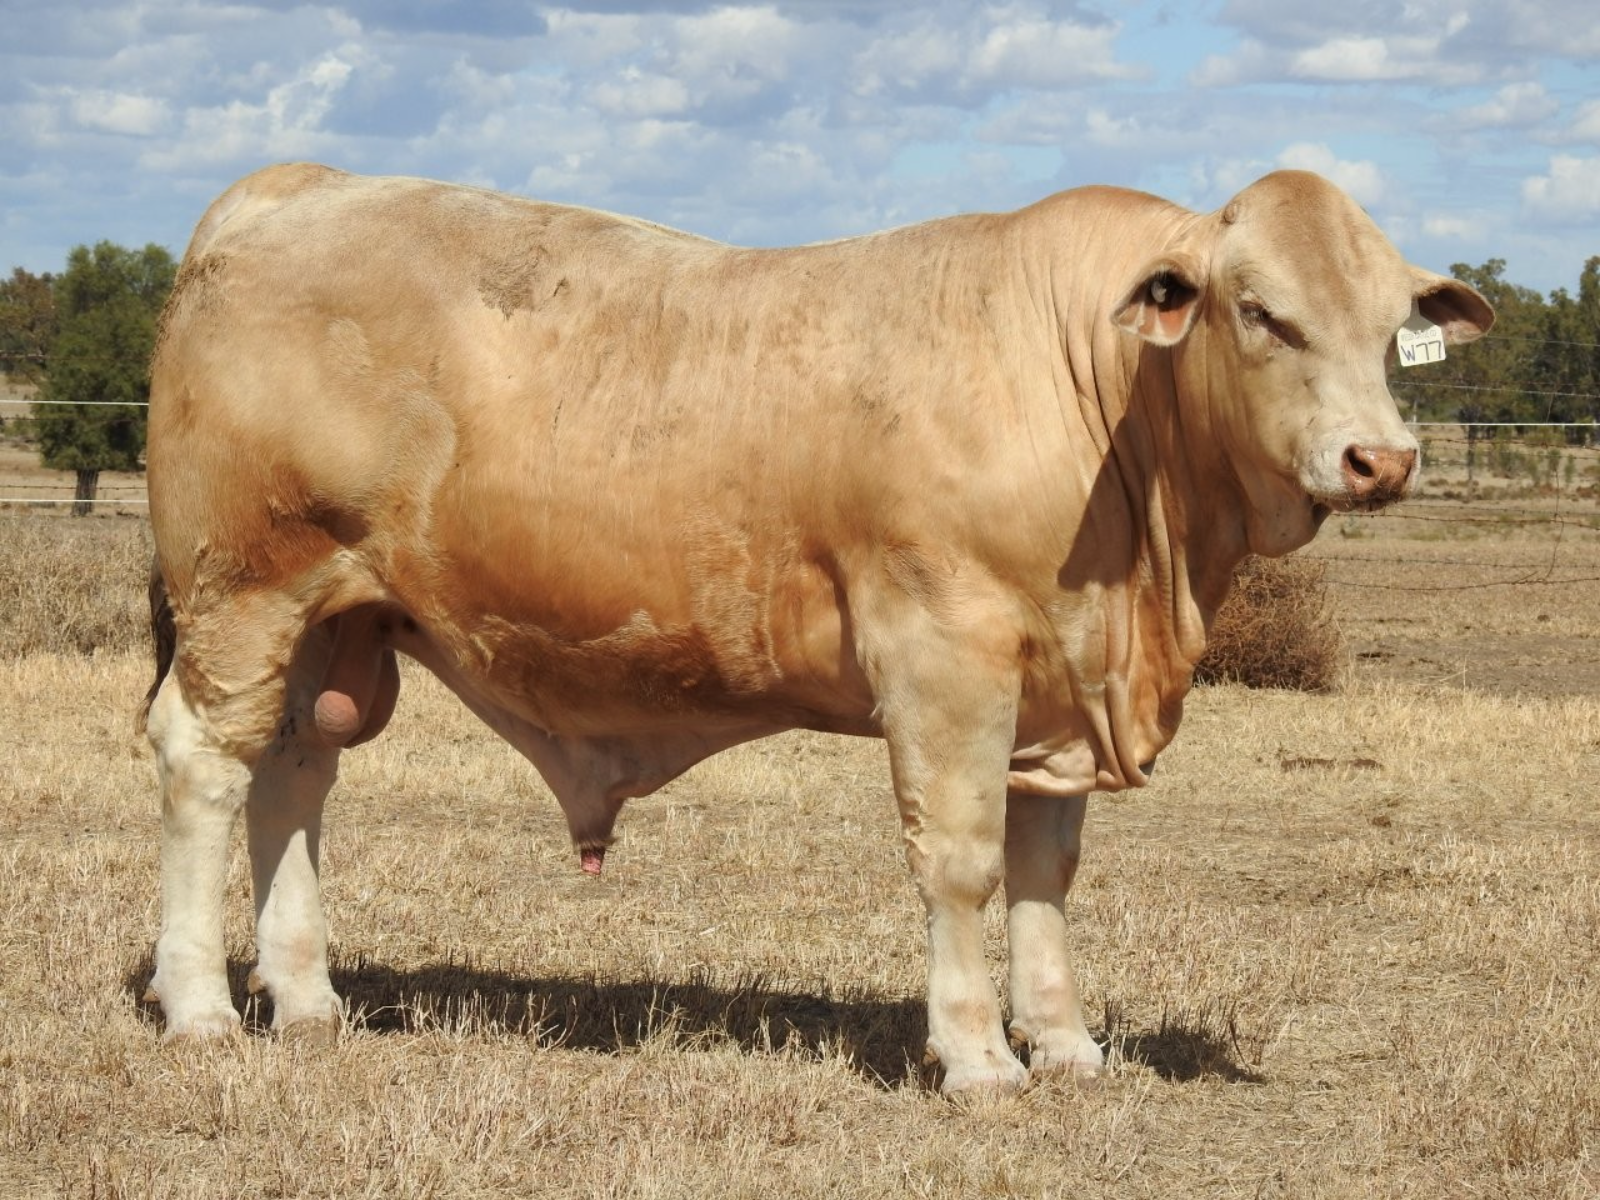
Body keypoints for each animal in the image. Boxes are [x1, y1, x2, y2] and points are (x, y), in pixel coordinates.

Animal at [139, 164, 1492, 1094]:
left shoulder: (1054, 686)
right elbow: (964, 862)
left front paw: (1063, 1041)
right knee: (207, 766)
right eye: (1258, 311)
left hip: (336, 625)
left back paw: (307, 998)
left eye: (1391, 324)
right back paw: (199, 1003)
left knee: (293, 776)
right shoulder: (947, 659)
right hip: (243, 593)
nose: (1380, 458)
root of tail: (291, 187)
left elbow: (1045, 871)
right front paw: (977, 1057)